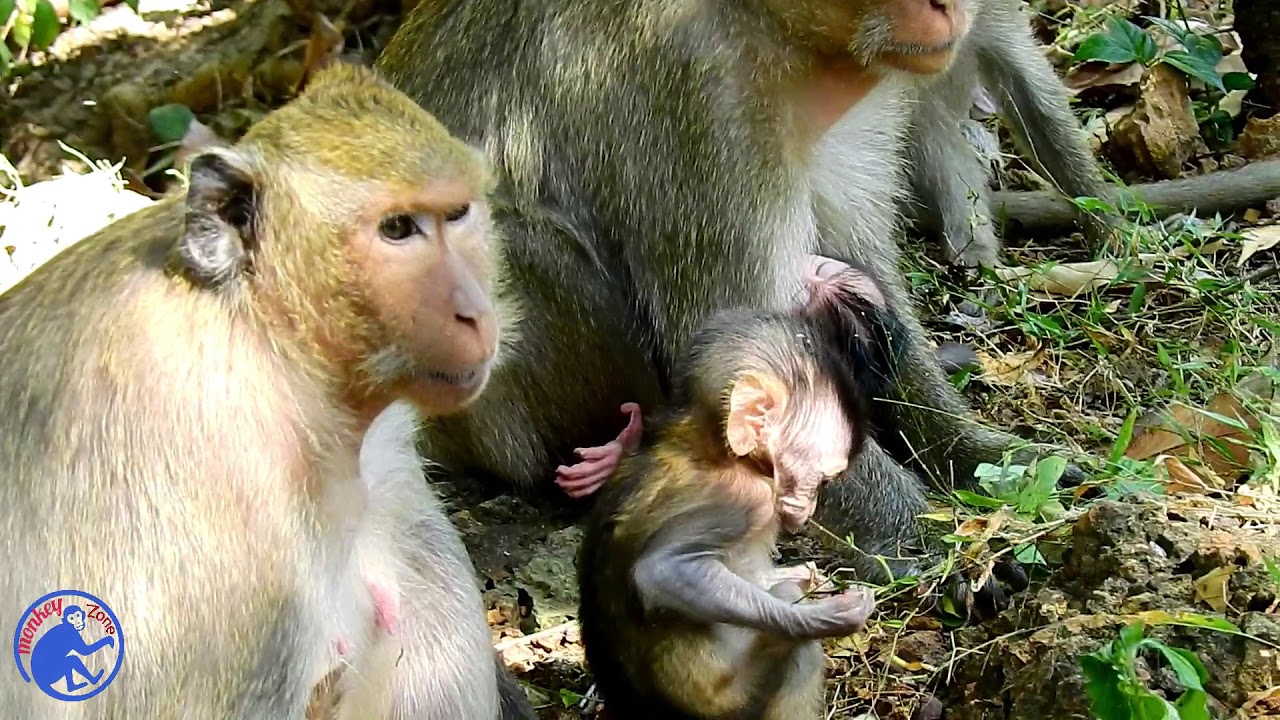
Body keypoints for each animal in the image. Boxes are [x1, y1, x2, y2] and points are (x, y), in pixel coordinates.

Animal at [376, 0, 1056, 617]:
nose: (950, 8)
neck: (790, 38)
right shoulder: (695, 99)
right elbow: (737, 349)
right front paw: (938, 548)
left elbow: (865, 273)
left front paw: (982, 458)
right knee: (509, 244)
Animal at [577, 266, 898, 718]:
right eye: (821, 479)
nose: (810, 508)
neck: (710, 448)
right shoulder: (743, 500)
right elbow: (660, 573)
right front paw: (827, 616)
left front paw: (808, 576)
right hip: (735, 702)